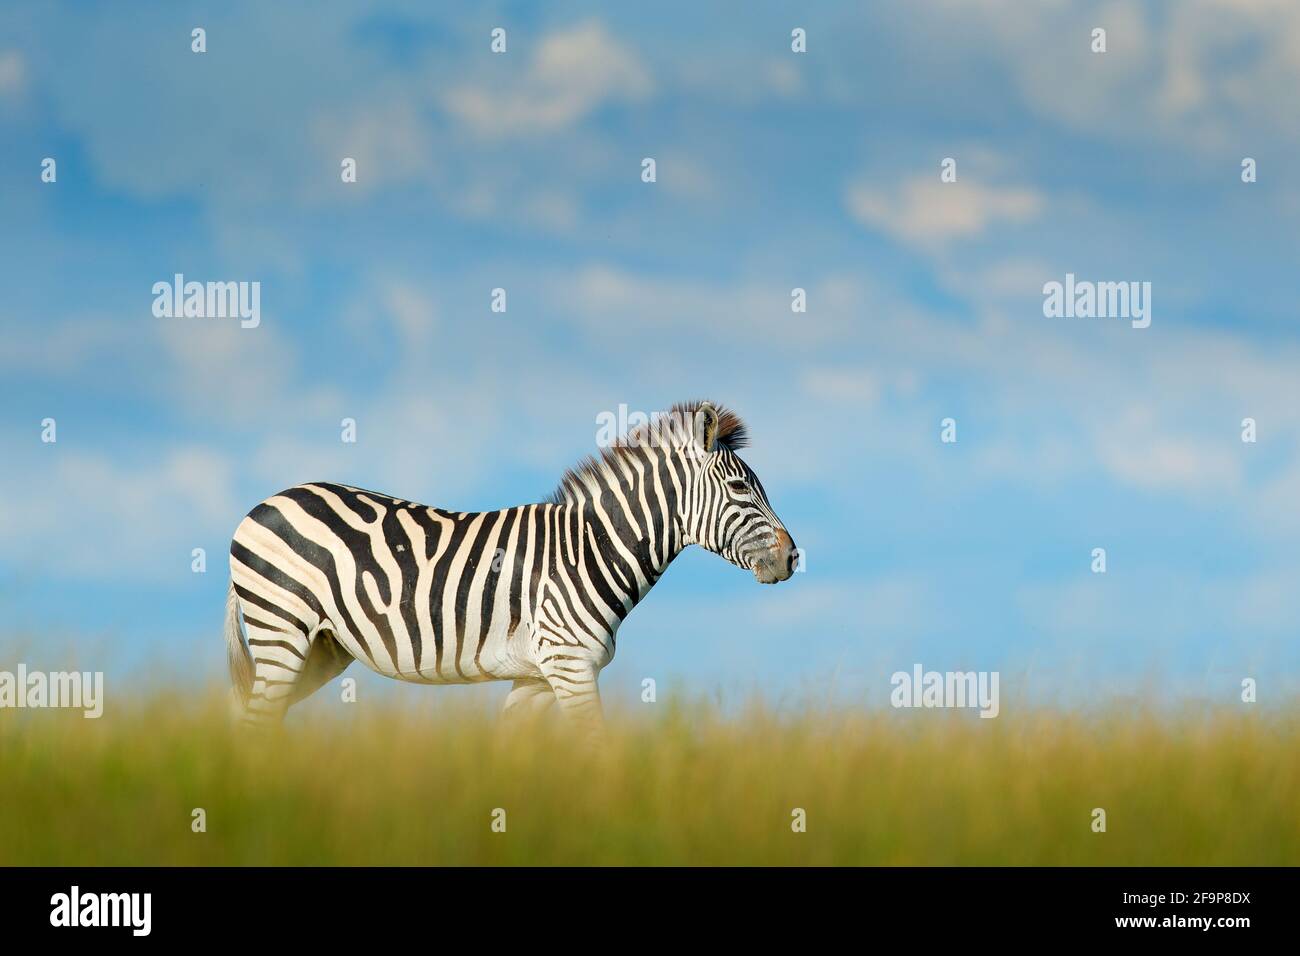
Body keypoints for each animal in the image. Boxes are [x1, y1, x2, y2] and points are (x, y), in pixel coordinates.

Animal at [224, 400, 797, 741]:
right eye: (741, 488)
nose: (793, 558)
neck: (589, 549)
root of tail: (259, 507)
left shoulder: (535, 677)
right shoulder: (570, 666)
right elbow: (600, 752)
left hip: (320, 648)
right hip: (282, 629)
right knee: (253, 724)